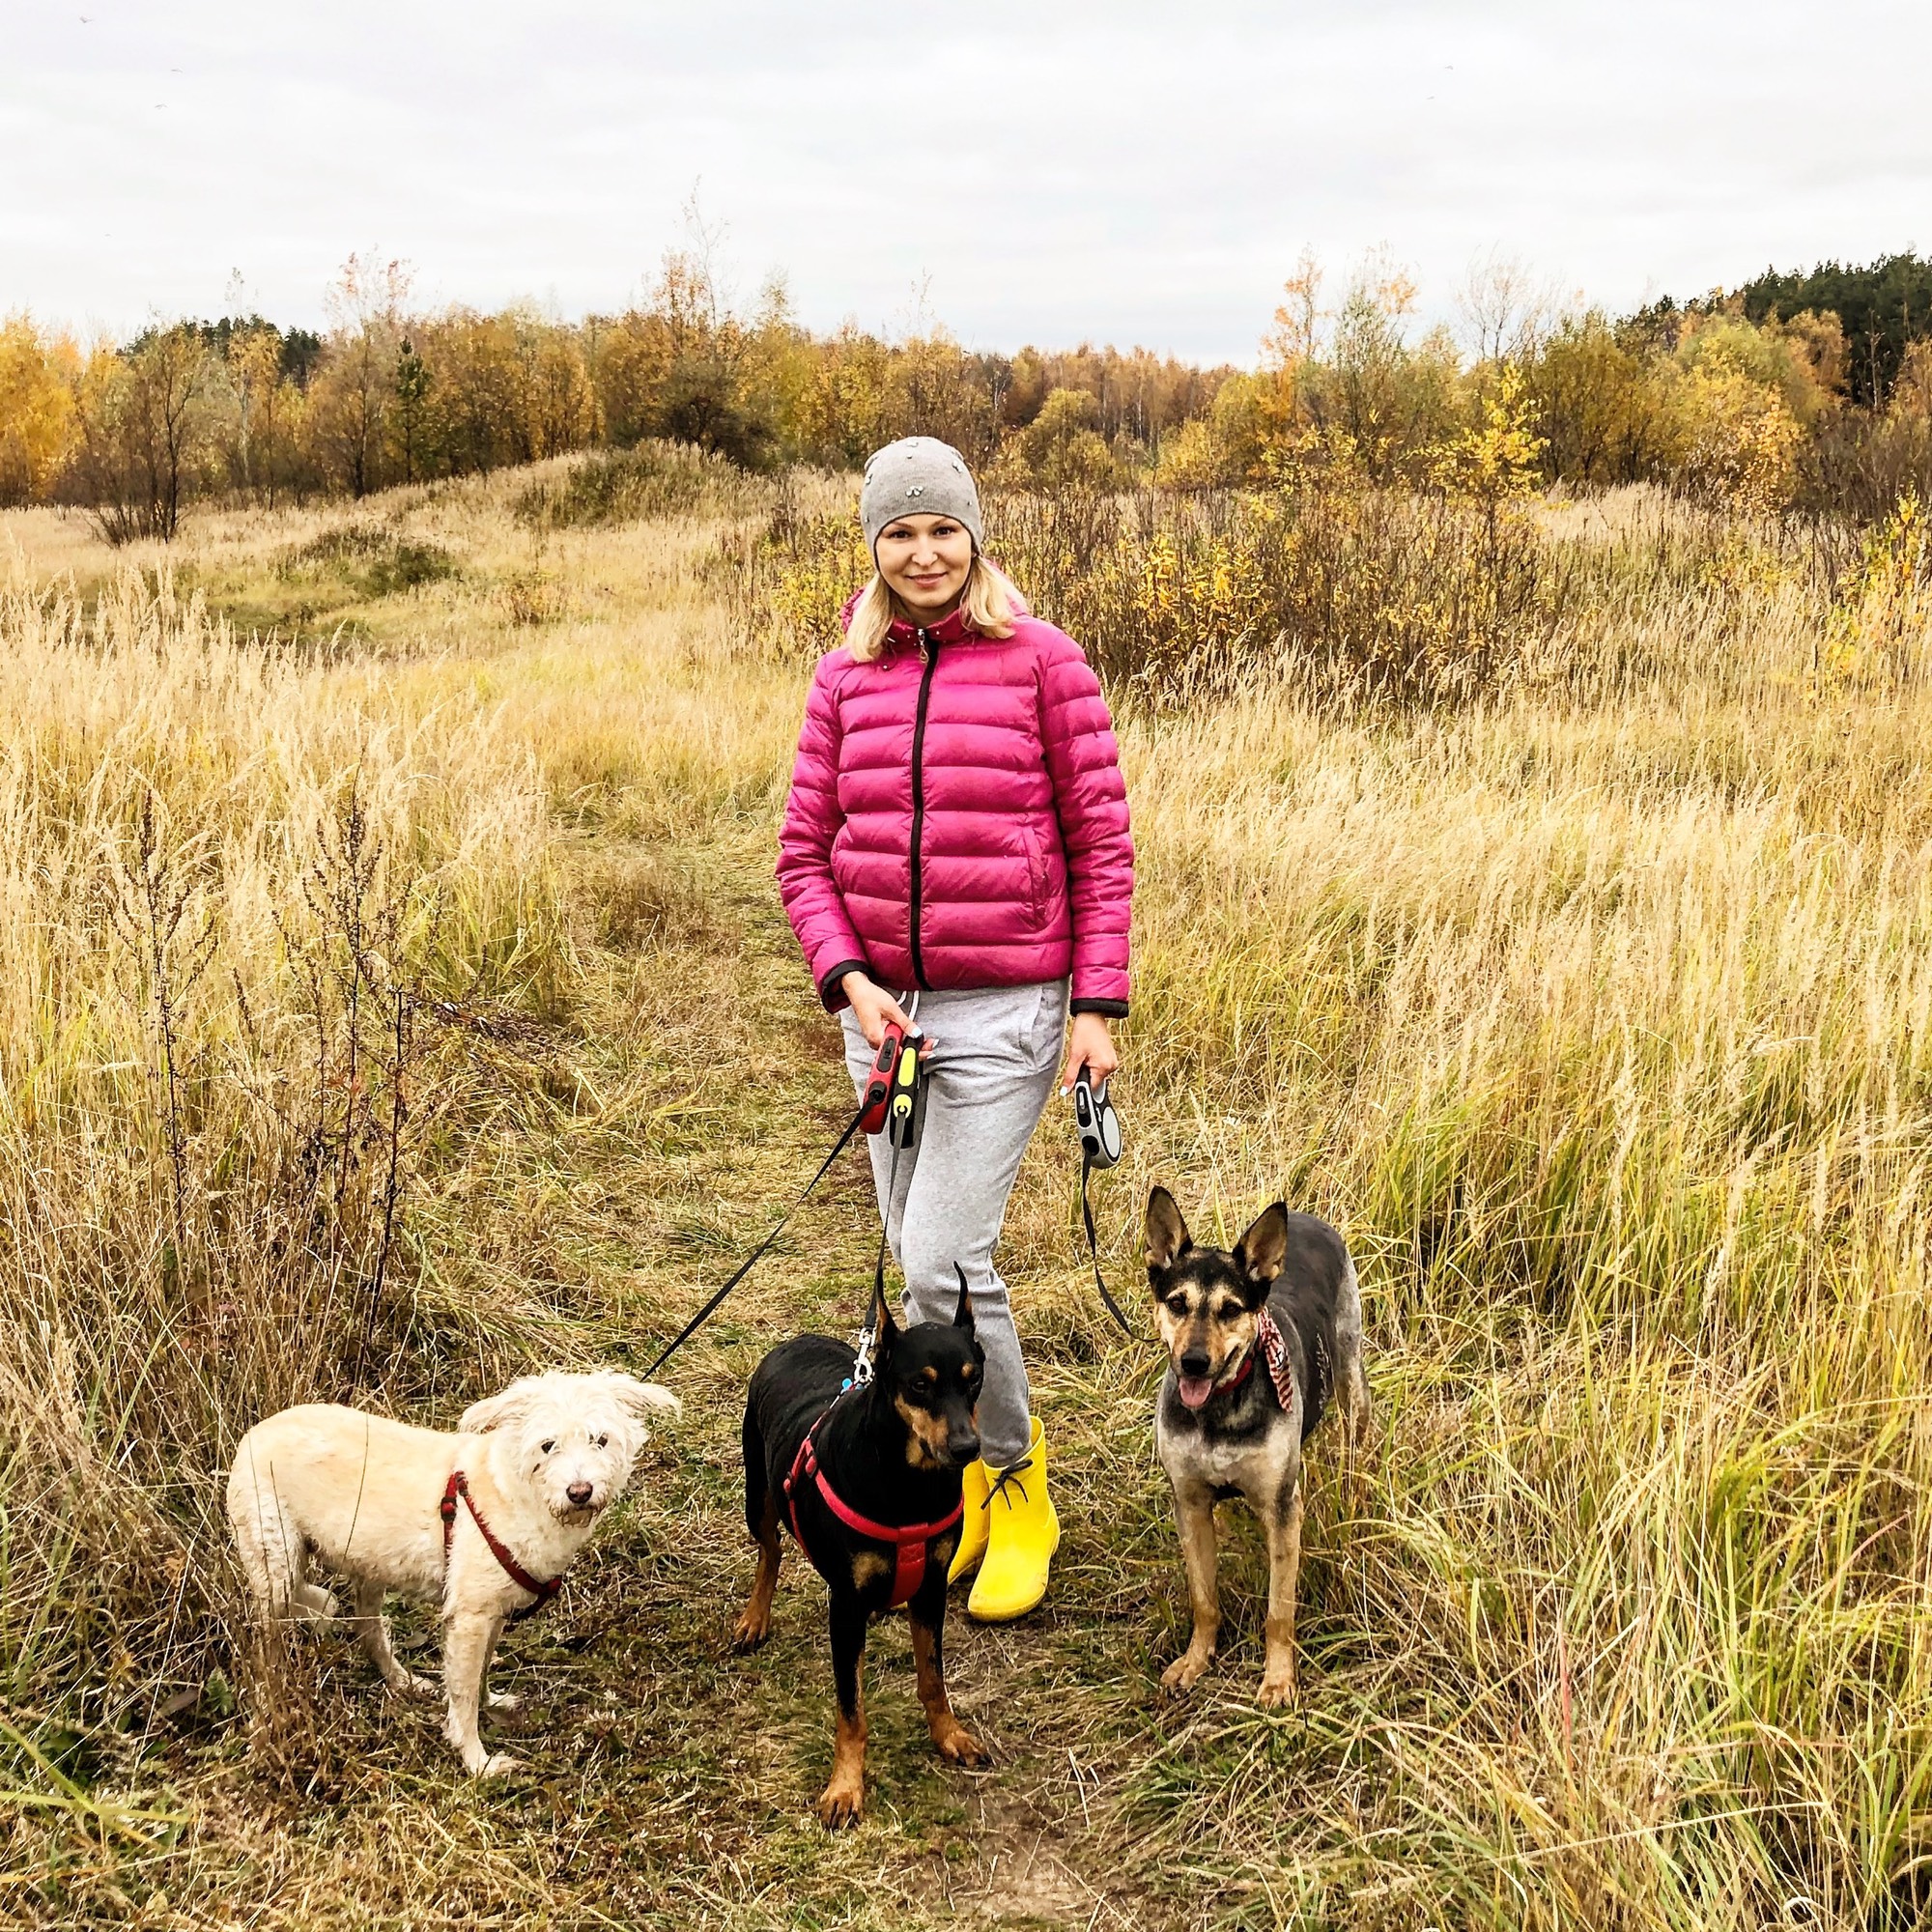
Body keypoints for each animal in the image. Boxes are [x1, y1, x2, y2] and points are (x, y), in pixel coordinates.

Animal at [229, 1376, 680, 1777]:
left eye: (600, 1440)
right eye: (547, 1446)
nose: (580, 1492)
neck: (519, 1495)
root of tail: (253, 1433)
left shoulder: (493, 1614)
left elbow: (479, 1676)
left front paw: (491, 1704)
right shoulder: (469, 1619)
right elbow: (463, 1692)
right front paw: (477, 1760)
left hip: (367, 1566)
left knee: (367, 1629)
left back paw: (401, 1680)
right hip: (276, 1568)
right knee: (269, 1646)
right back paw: (269, 1704)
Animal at [730, 1275, 989, 1816]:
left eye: (973, 1378)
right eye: (920, 1384)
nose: (966, 1449)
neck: (910, 1485)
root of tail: (795, 1341)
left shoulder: (931, 1589)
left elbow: (933, 1678)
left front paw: (949, 1736)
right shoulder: (845, 1609)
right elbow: (850, 1711)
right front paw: (845, 1786)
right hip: (758, 1493)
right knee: (770, 1549)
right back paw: (755, 1618)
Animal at [1144, 1182, 1376, 1716]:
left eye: (1230, 1309)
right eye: (1177, 1303)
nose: (1193, 1362)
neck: (1219, 1410)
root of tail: (1307, 1218)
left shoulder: (1284, 1509)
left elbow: (1279, 1612)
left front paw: (1277, 1680)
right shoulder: (1190, 1503)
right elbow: (1203, 1597)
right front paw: (1196, 1660)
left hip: (1350, 1371)